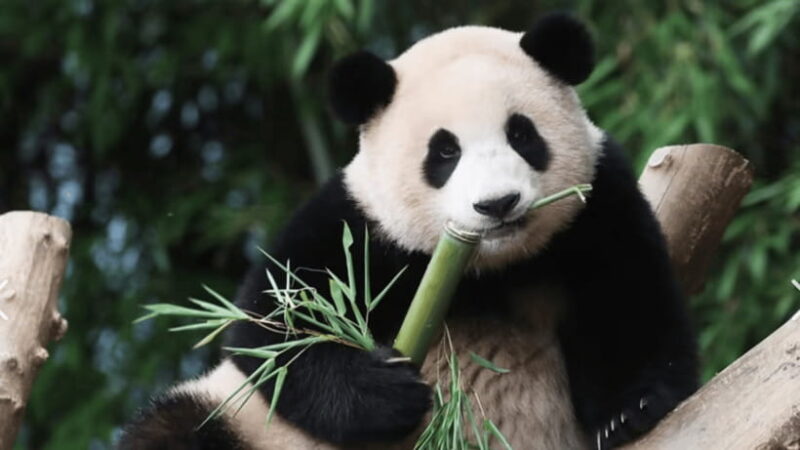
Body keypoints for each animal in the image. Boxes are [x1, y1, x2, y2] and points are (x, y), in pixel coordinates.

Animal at [120, 12, 698, 450]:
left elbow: (630, 301)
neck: (489, 270)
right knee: (174, 429)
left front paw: (629, 409)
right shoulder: (355, 227)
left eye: (521, 134)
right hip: (234, 418)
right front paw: (386, 392)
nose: (497, 205)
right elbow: (273, 327)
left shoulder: (598, 208)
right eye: (444, 152)